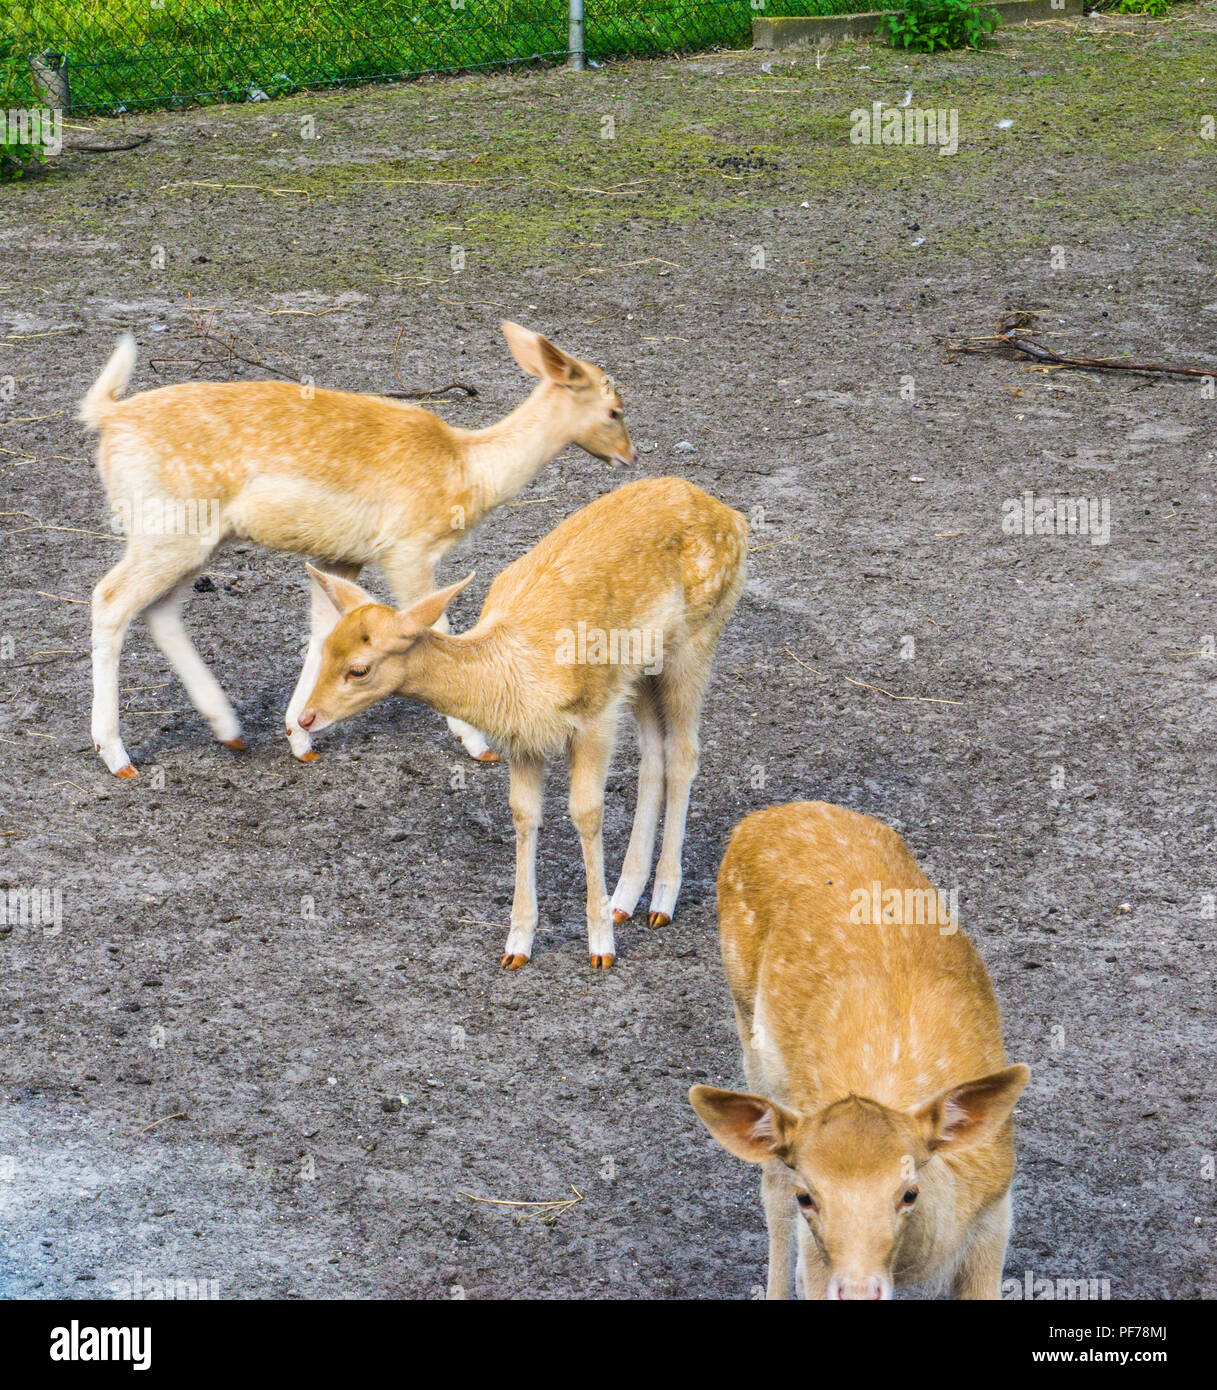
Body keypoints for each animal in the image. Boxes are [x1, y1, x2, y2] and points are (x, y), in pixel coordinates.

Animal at [77, 321, 637, 778]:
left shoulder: (340, 556)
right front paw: (479, 745)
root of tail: (109, 417)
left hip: (189, 540)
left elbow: (324, 629)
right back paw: (116, 755)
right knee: (110, 599)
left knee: (160, 609)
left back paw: (229, 730)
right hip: (168, 529)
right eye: (614, 410)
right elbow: (436, 625)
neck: (468, 472)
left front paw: (300, 737)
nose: (630, 456)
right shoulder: (407, 549)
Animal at [295, 476, 748, 970]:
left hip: (697, 640)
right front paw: (517, 946)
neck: (512, 681)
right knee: (654, 754)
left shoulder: (594, 717)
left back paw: (661, 903)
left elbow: (586, 812)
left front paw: (601, 948)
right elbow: (524, 815)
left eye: (358, 669)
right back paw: (626, 900)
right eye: (325, 648)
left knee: (683, 753)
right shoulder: (524, 741)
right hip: (641, 672)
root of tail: (733, 518)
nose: (307, 716)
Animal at [690, 801, 1030, 1300]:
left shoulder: (995, 1208)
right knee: (770, 1184)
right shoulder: (818, 1256)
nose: (857, 1290)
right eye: (807, 1196)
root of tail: (758, 818)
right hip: (746, 1020)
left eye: (909, 1192)